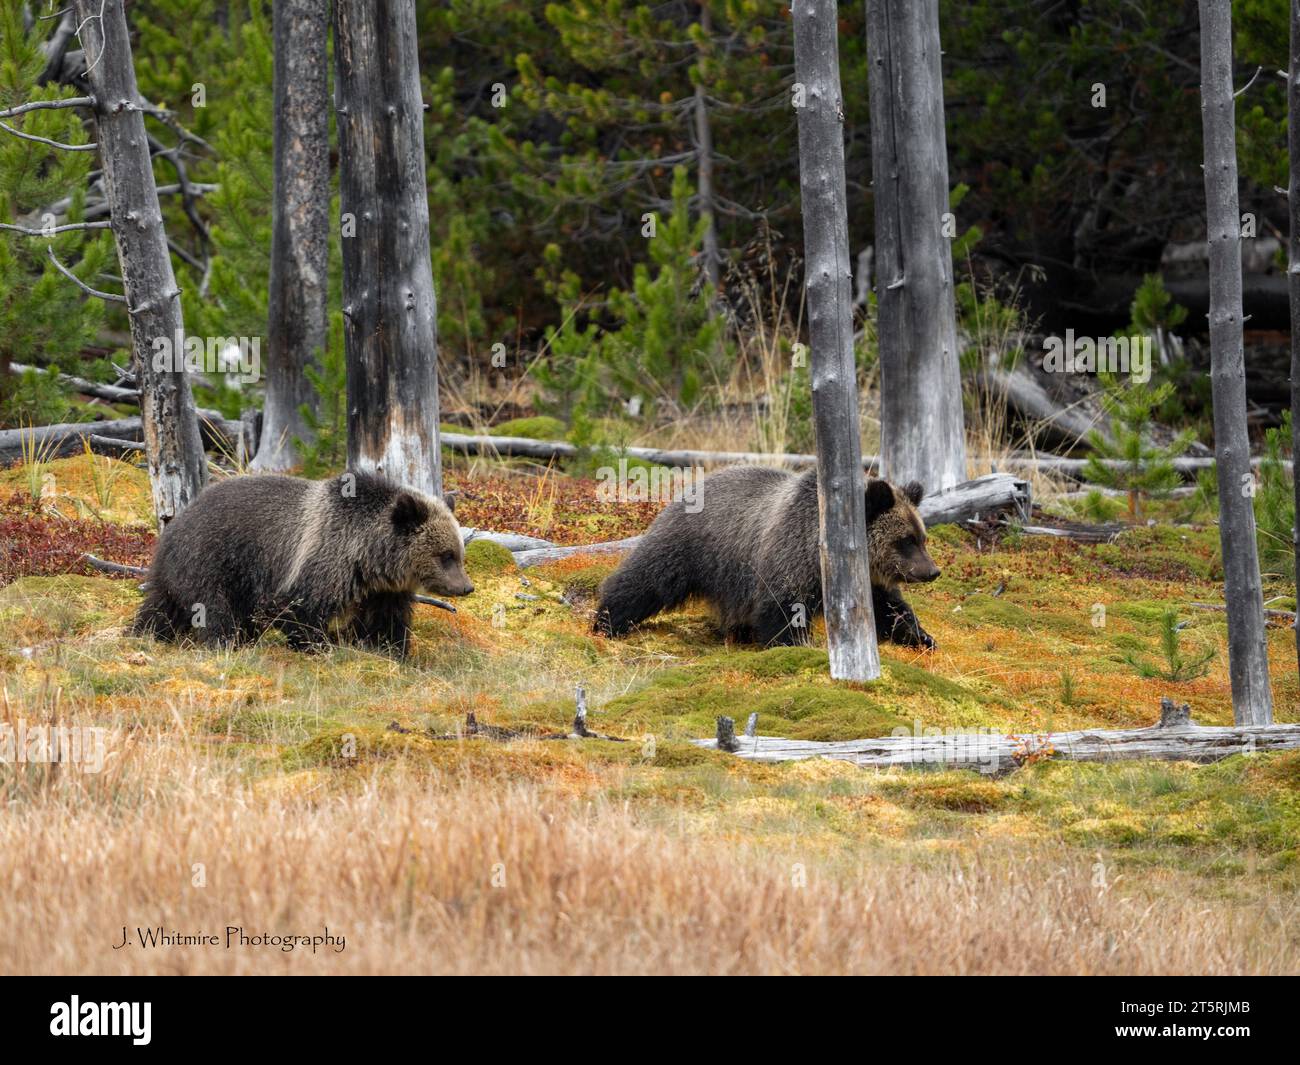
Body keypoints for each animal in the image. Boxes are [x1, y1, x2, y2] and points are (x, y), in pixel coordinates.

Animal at [132, 471, 473, 655]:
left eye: (458, 553)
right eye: (446, 555)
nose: (466, 587)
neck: (369, 559)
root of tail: (174, 524)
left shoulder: (383, 591)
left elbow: (386, 622)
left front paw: (391, 650)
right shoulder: (321, 562)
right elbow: (298, 609)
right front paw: (321, 646)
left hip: (180, 573)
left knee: (160, 608)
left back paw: (144, 634)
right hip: (212, 560)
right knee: (215, 609)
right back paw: (227, 643)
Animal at [593, 466, 939, 649]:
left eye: (922, 538)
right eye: (905, 540)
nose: (932, 571)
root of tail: (691, 488)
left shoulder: (869, 582)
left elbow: (889, 608)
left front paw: (921, 636)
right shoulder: (789, 561)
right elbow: (783, 611)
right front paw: (793, 644)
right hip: (687, 546)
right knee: (644, 580)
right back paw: (606, 621)